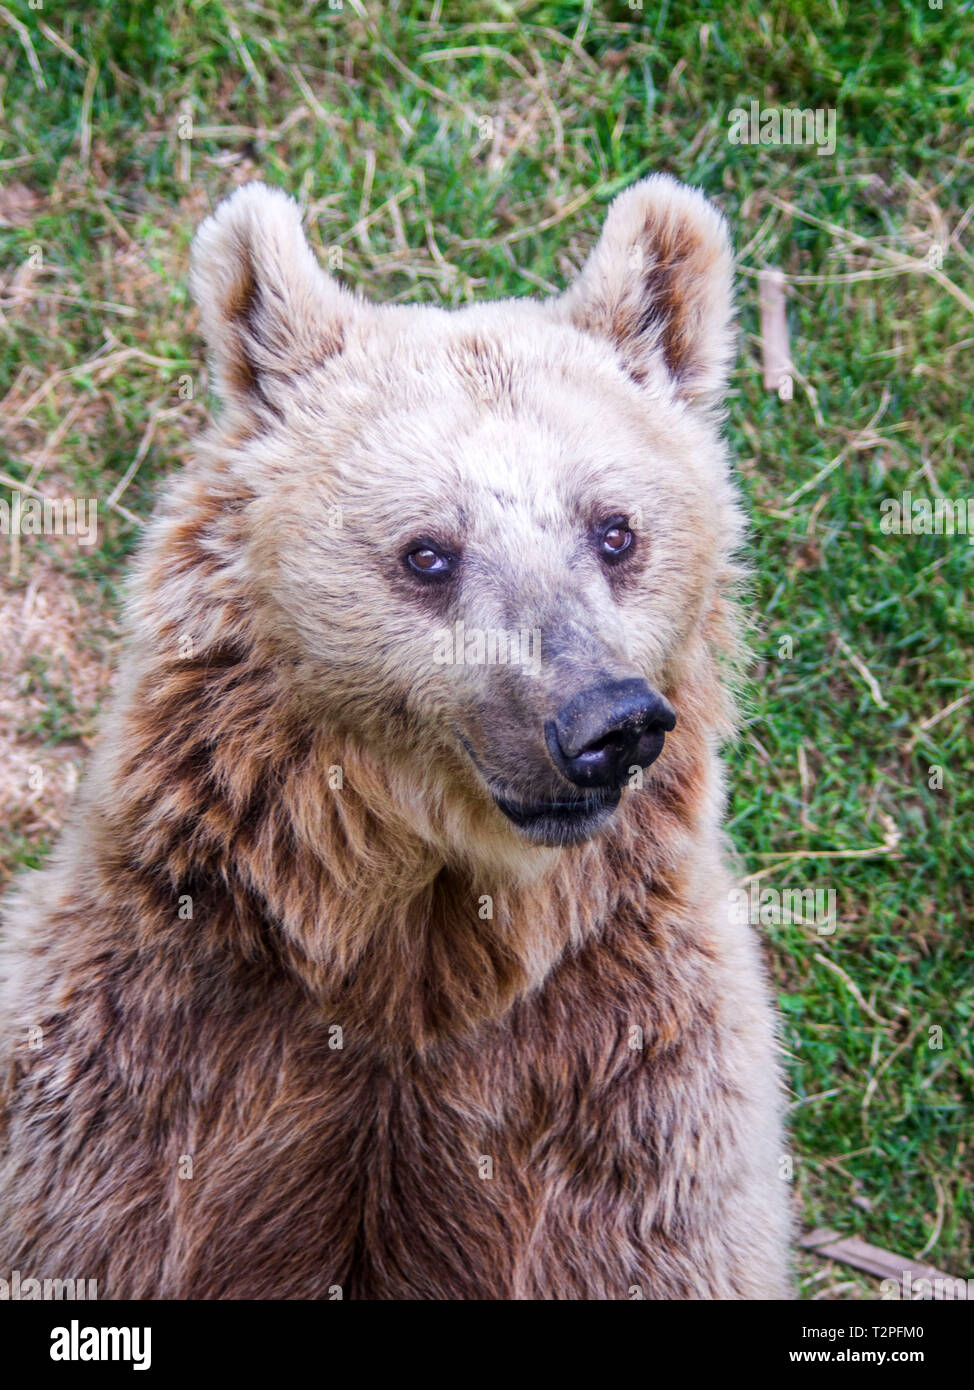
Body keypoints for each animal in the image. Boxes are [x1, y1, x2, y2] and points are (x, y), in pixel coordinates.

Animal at [0, 174, 791, 1299]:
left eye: (614, 530)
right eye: (428, 552)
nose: (606, 722)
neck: (411, 954)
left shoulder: (624, 1090)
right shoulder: (147, 1064)